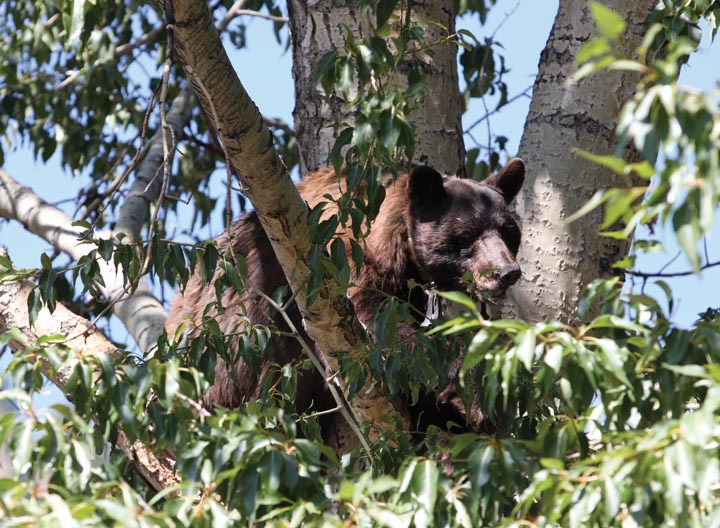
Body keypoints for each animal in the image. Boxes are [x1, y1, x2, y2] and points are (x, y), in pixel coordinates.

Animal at [166, 158, 525, 434]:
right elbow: (384, 332)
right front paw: (471, 396)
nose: (507, 272)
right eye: (466, 236)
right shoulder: (344, 263)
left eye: (509, 231)